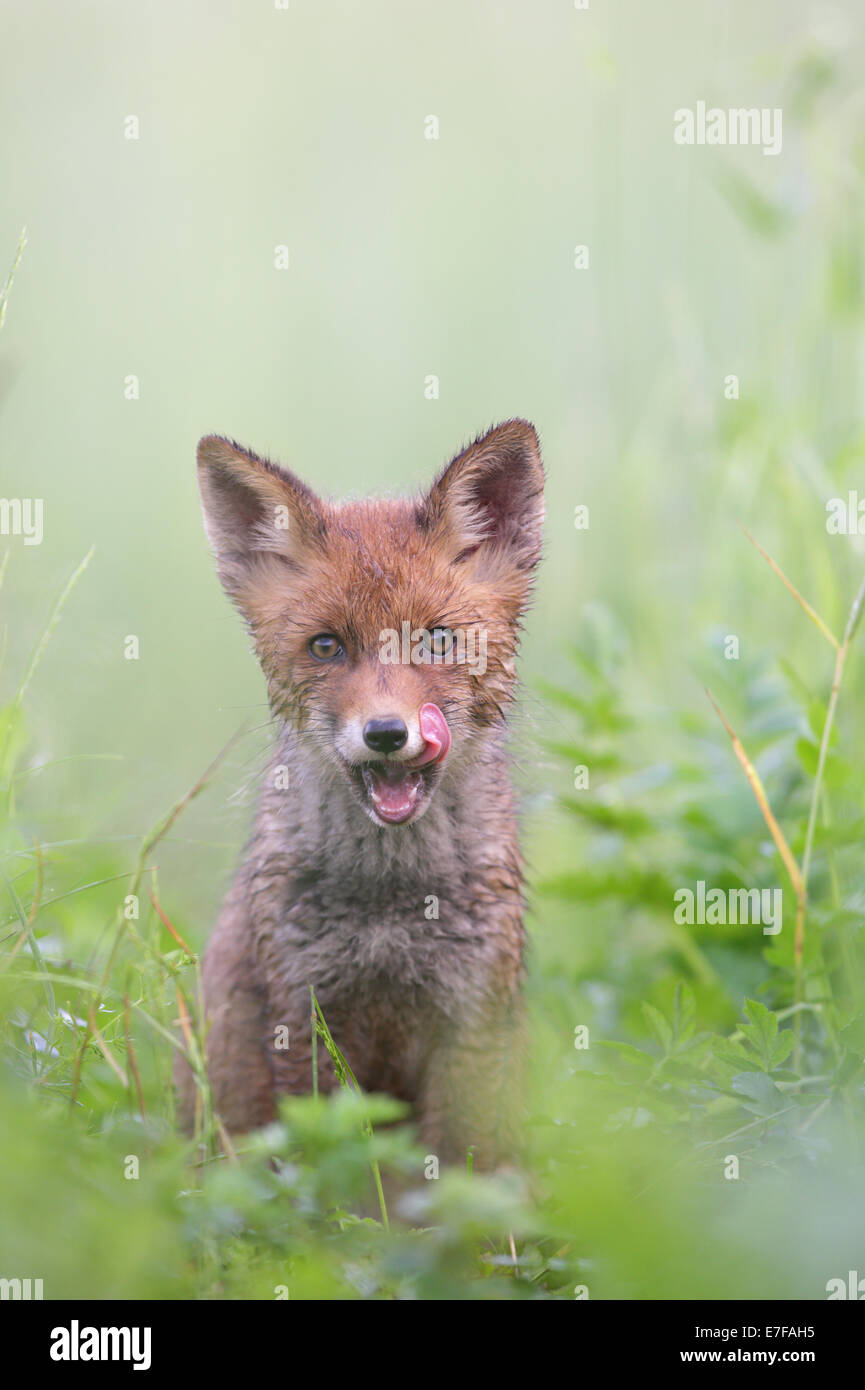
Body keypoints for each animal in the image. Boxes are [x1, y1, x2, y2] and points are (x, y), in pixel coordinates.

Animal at [175, 419, 545, 1170]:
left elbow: (458, 1172)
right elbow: (327, 1168)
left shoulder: (470, 1021)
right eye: (326, 647)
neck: (392, 903)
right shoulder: (304, 1018)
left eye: (436, 640)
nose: (385, 733)